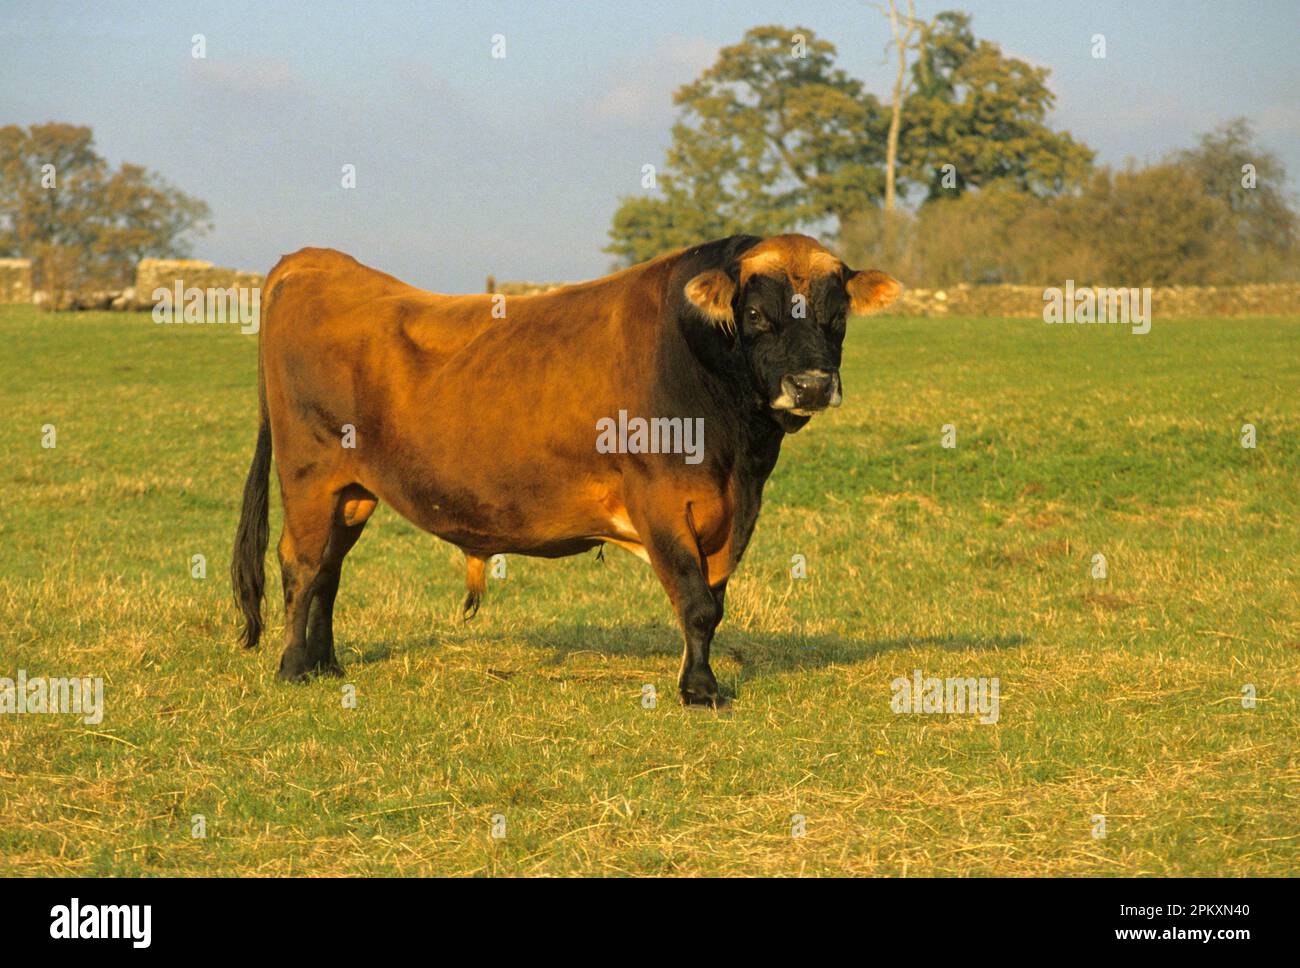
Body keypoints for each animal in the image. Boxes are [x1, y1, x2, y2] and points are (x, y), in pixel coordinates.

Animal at [231, 234, 901, 706]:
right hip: (309, 474)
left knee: (329, 569)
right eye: (757, 314)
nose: (811, 384)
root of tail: (316, 261)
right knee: (301, 565)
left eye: (838, 315)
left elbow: (711, 600)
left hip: (351, 490)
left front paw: (697, 677)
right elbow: (696, 603)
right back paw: (294, 667)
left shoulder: (731, 513)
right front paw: (701, 690)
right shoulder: (659, 499)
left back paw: (327, 663)